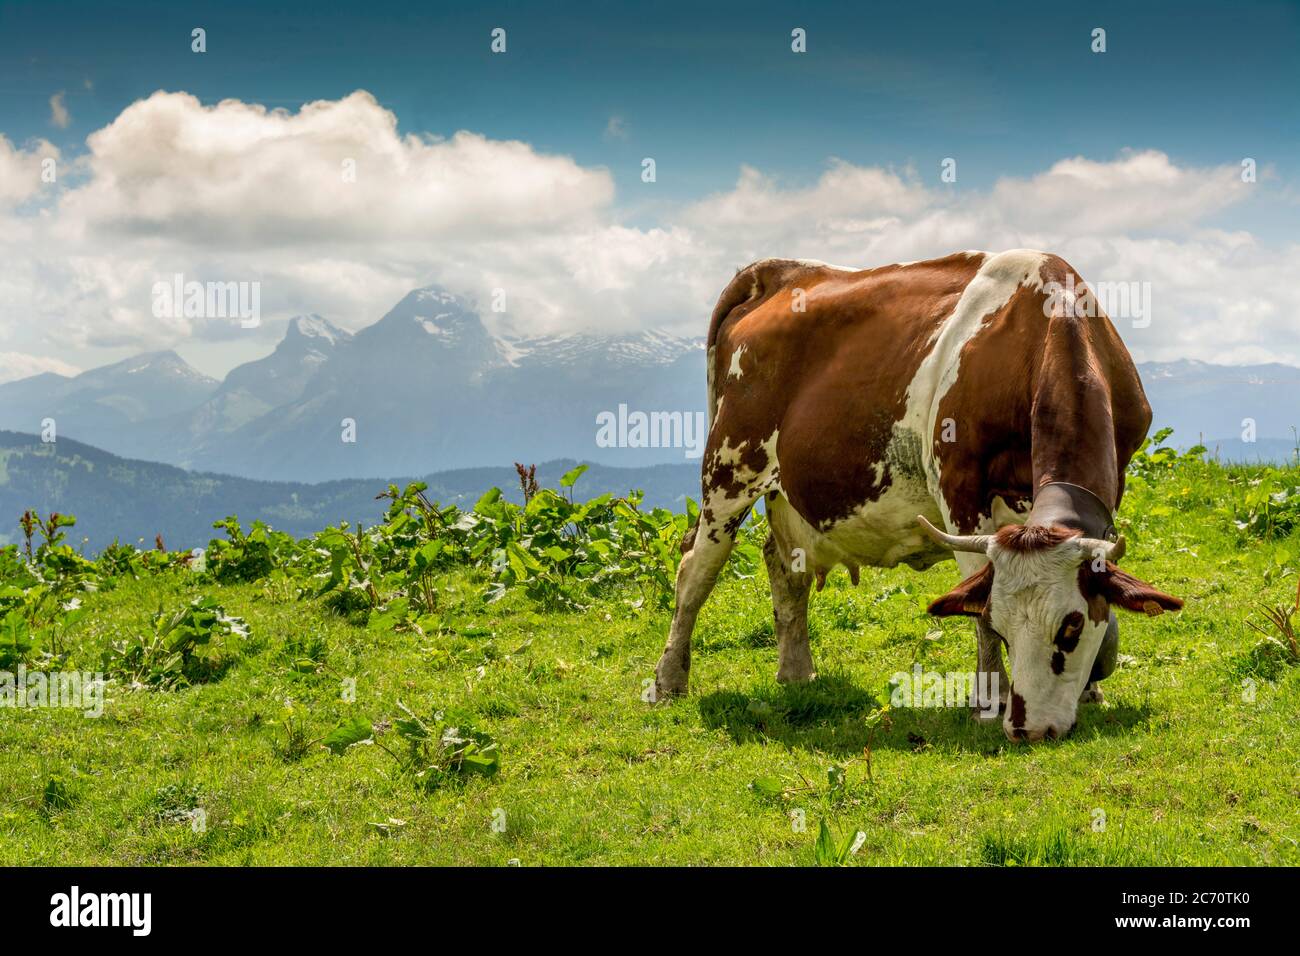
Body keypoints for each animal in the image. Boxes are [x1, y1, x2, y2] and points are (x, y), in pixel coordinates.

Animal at [654, 249, 1183, 742]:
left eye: (1072, 626)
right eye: (1002, 622)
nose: (1027, 728)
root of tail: (776, 271)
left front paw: (1092, 689)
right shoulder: (958, 486)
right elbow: (977, 597)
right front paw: (988, 700)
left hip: (788, 497)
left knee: (785, 567)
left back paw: (797, 673)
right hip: (729, 470)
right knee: (695, 568)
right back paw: (668, 681)